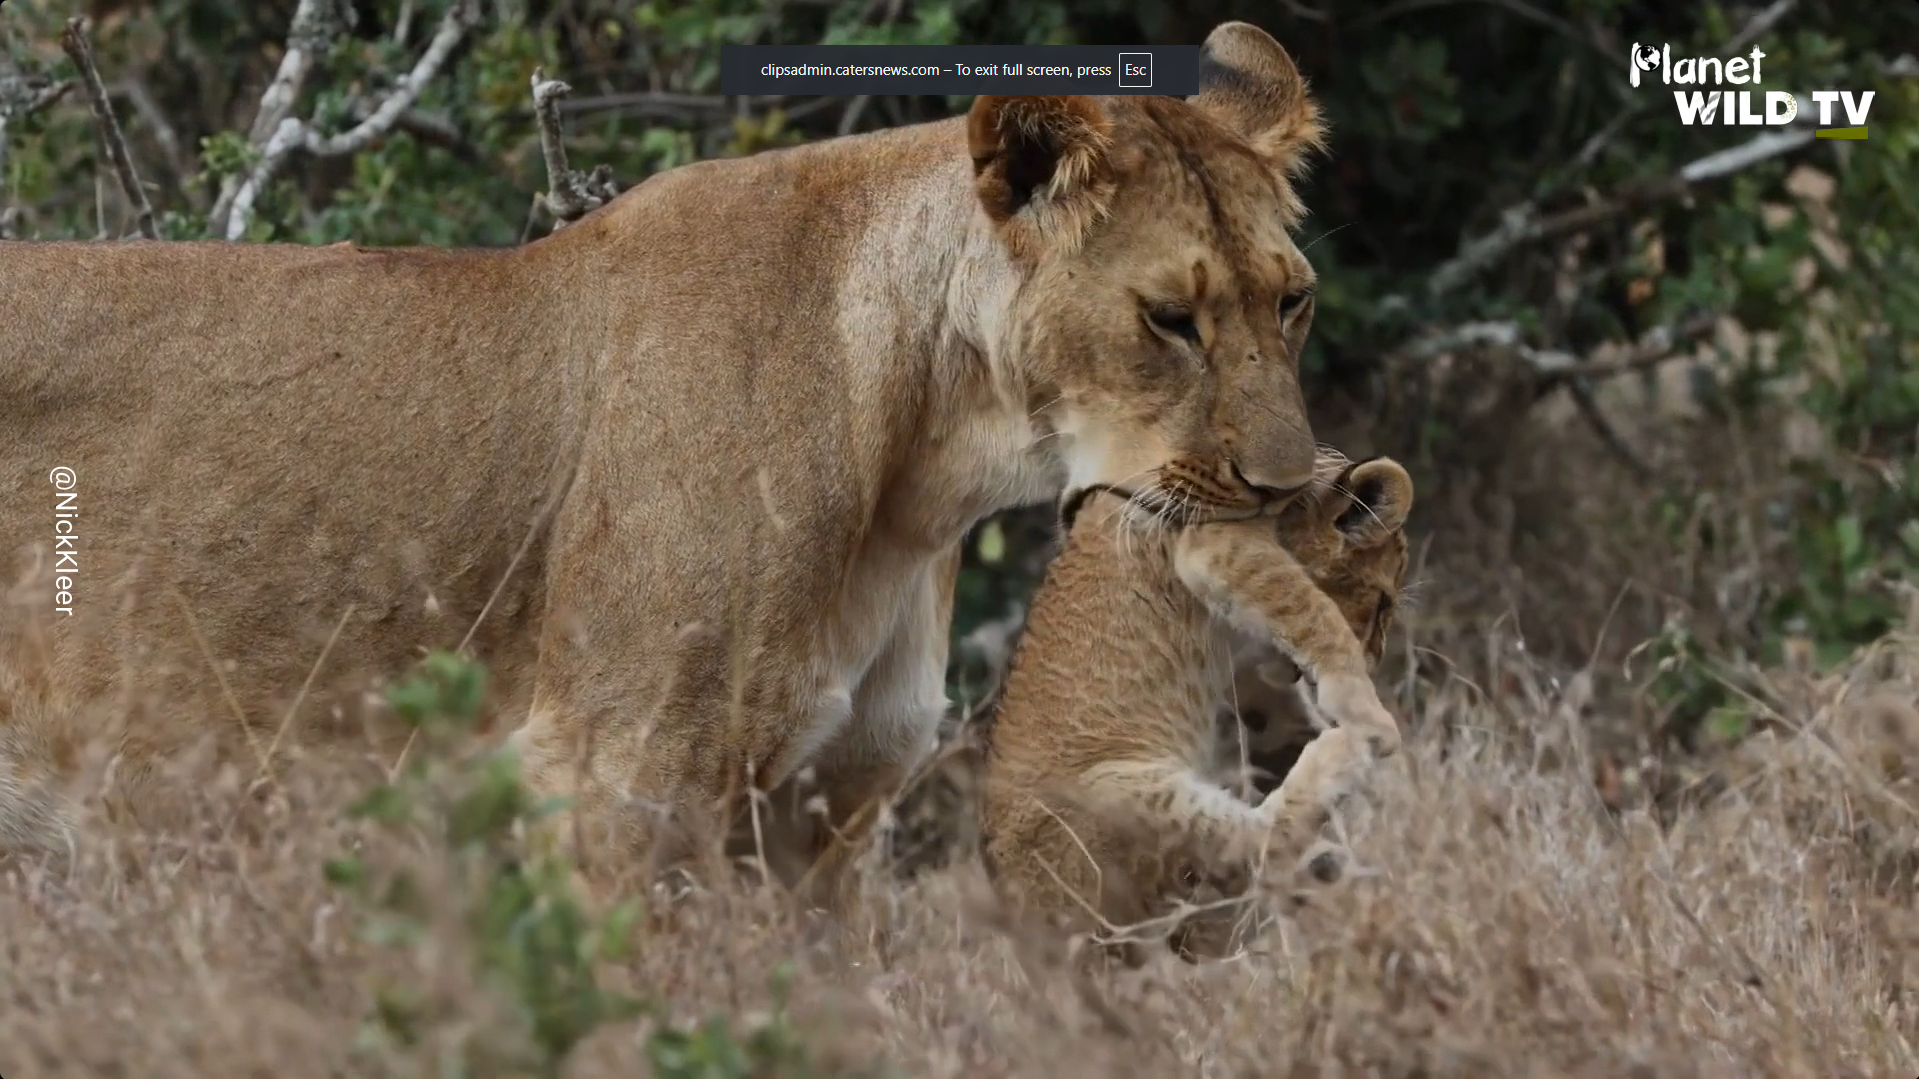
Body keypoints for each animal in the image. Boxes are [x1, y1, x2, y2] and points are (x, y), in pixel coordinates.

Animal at [0, 23, 1330, 899]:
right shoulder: (610, 776)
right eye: (1167, 318)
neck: (923, 475)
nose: (1288, 489)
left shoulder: (828, 816)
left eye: (1292, 300)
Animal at [979, 451, 1413, 961]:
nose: (1376, 660)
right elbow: (1314, 614)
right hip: (1118, 793)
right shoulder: (1212, 544)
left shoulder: (1246, 666)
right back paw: (1338, 765)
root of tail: (1030, 936)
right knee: (1252, 846)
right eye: (1382, 604)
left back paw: (1320, 864)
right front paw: (1372, 719)